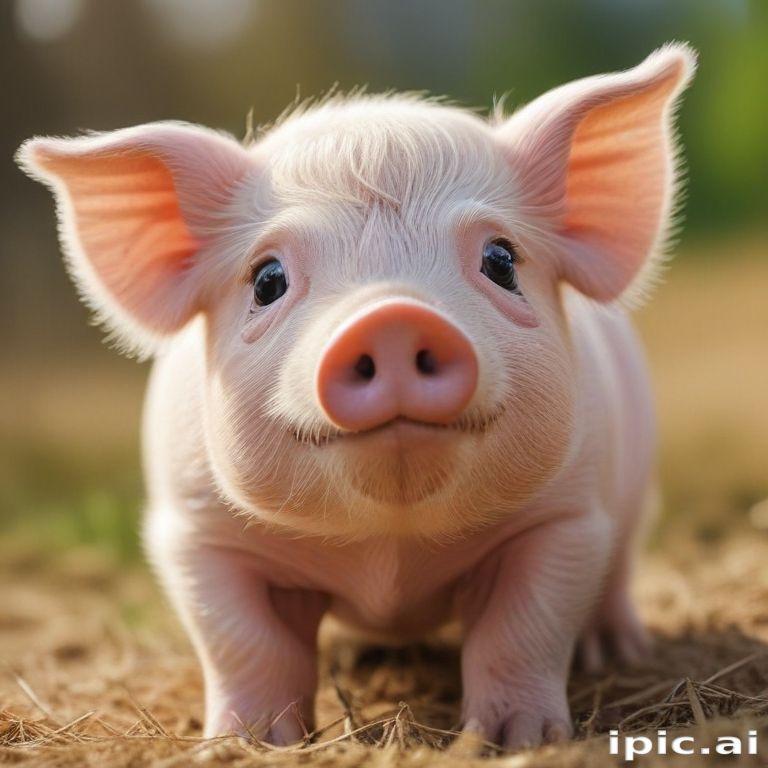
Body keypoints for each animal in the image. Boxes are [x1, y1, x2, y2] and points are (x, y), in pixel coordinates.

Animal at [17, 44, 695, 750]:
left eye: (502, 261)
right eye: (267, 280)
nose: (392, 315)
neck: (388, 554)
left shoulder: (564, 520)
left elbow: (523, 629)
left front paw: (520, 740)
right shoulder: (198, 534)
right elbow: (243, 644)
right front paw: (248, 743)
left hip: (636, 492)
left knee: (618, 572)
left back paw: (617, 651)